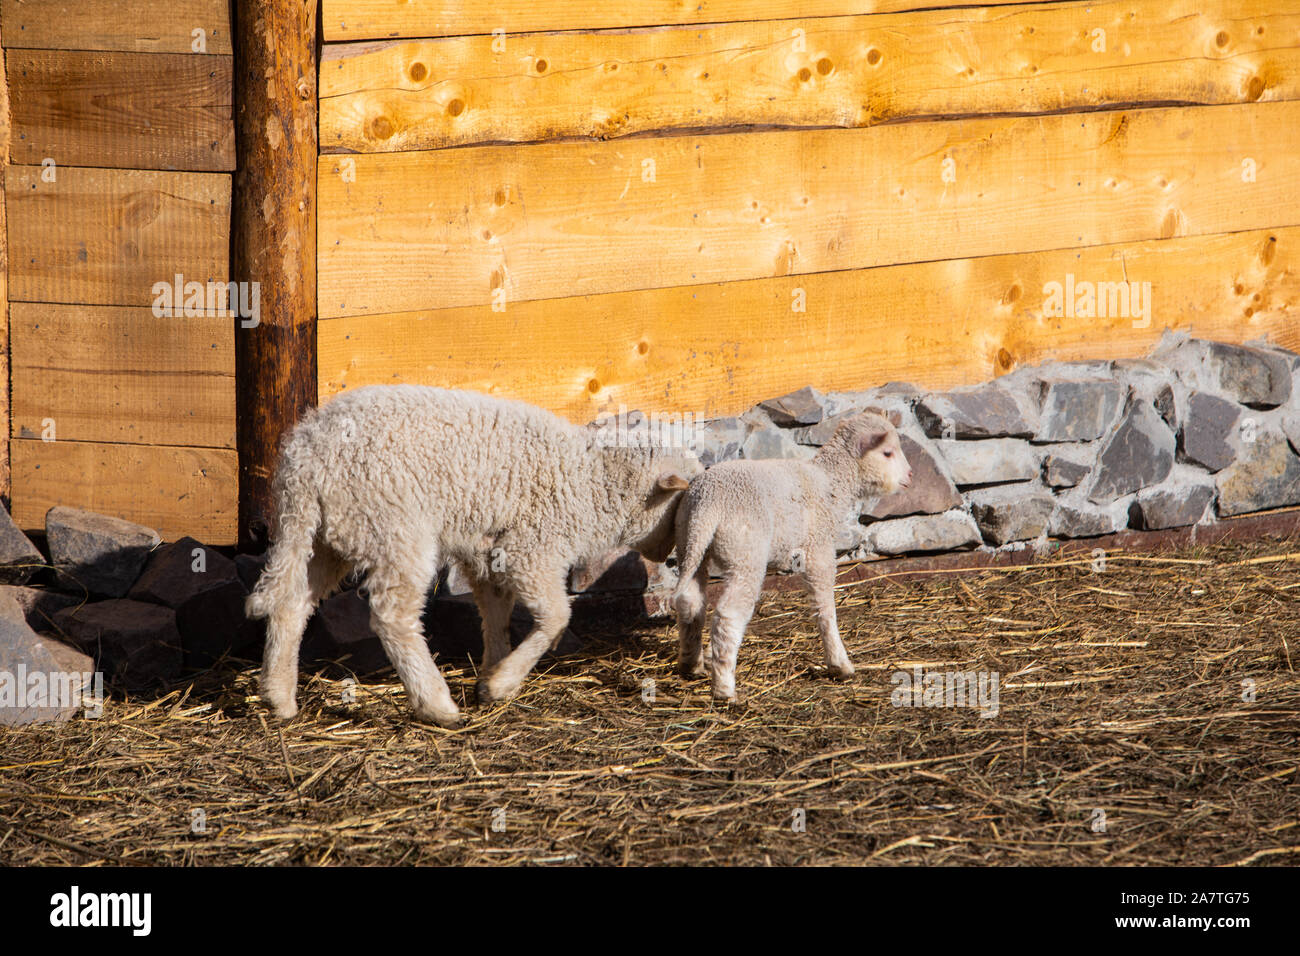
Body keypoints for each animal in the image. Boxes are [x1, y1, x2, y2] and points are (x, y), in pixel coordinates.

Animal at [246, 386, 700, 727]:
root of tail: (306, 459)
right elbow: (556, 616)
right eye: (683, 504)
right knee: (393, 617)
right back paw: (436, 705)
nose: (670, 556)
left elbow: (497, 613)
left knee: (291, 603)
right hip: (394, 528)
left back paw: (279, 698)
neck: (591, 481)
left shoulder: (490, 553)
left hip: (323, 534)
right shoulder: (531, 547)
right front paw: (504, 682)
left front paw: (491, 676)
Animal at [672, 410, 912, 701]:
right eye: (888, 453)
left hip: (689, 543)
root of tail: (708, 505)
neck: (832, 482)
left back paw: (691, 664)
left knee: (691, 602)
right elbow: (825, 608)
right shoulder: (819, 547)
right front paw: (839, 664)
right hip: (746, 553)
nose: (910, 475)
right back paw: (724, 688)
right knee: (728, 615)